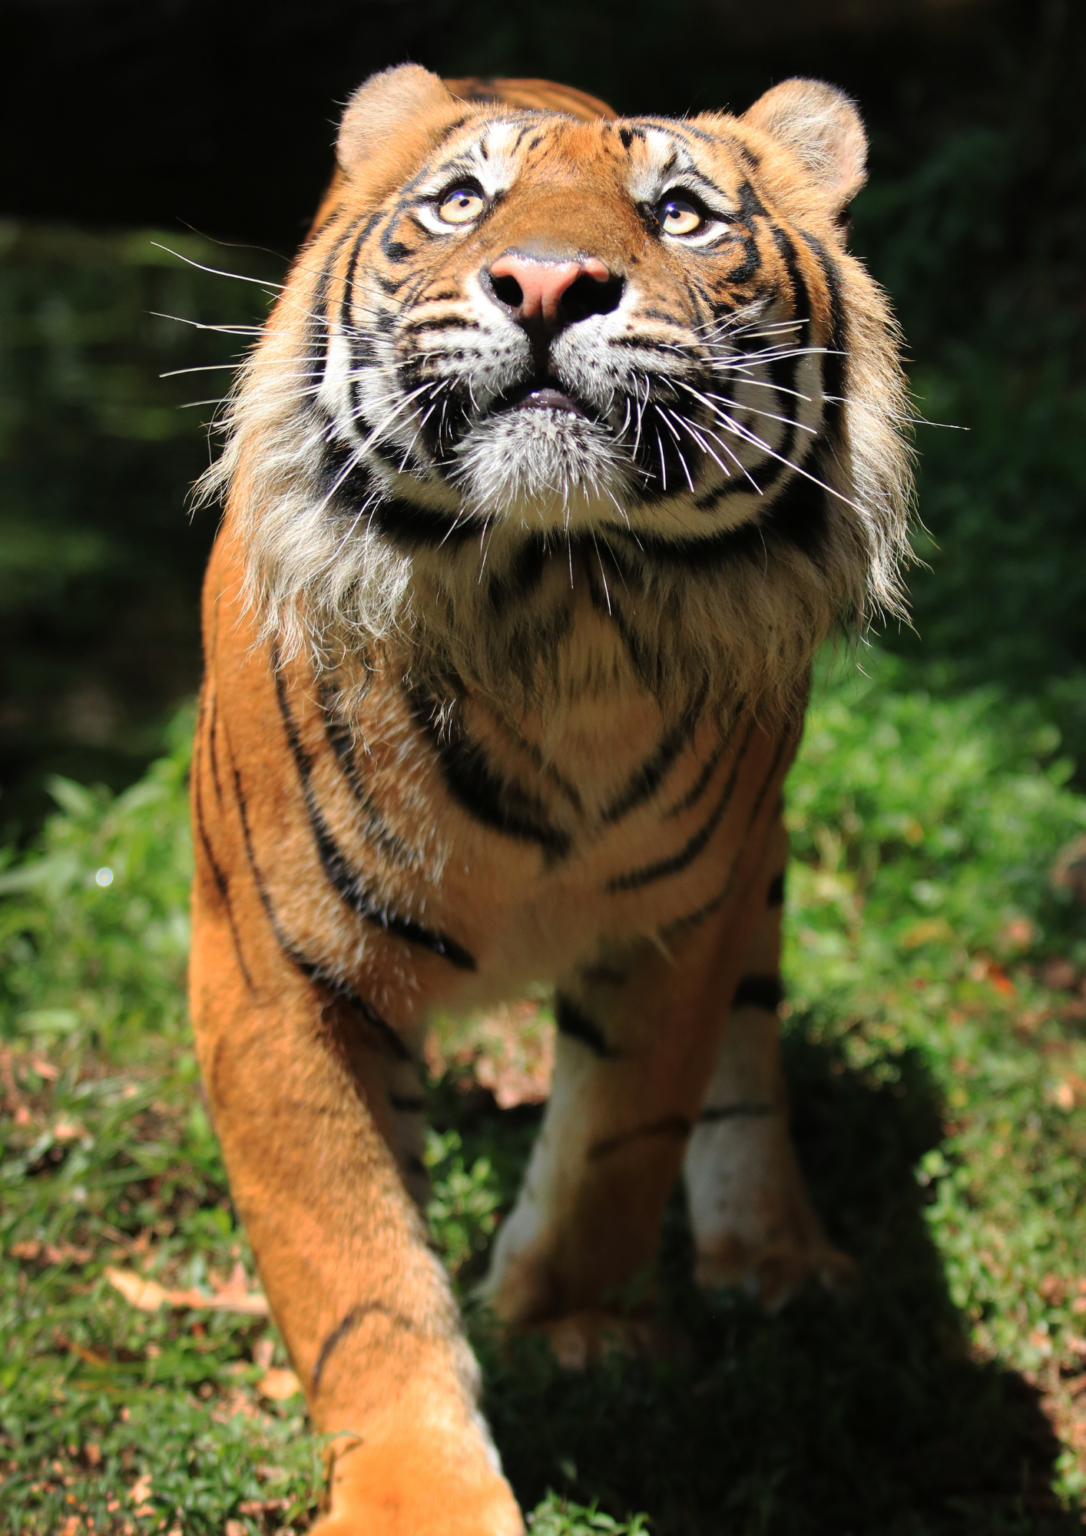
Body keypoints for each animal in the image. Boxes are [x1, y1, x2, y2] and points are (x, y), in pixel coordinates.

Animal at [189, 65, 911, 1535]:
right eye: (464, 200)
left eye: (681, 212)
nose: (543, 282)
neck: (558, 603)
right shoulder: (272, 975)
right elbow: (351, 1265)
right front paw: (417, 1493)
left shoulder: (675, 928)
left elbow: (618, 1151)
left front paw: (560, 1323)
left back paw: (778, 1259)